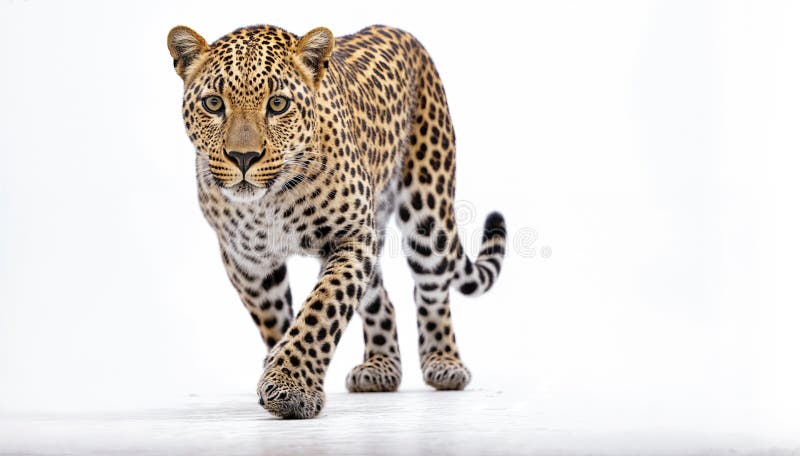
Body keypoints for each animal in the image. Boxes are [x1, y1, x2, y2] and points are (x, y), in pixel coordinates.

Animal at [167, 23, 507, 419]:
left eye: (278, 104)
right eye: (213, 104)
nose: (243, 157)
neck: (270, 200)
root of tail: (402, 33)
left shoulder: (351, 238)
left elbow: (322, 308)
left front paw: (291, 385)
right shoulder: (247, 263)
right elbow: (278, 320)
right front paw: (279, 363)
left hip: (428, 211)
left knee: (431, 288)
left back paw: (444, 361)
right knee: (380, 299)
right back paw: (380, 367)